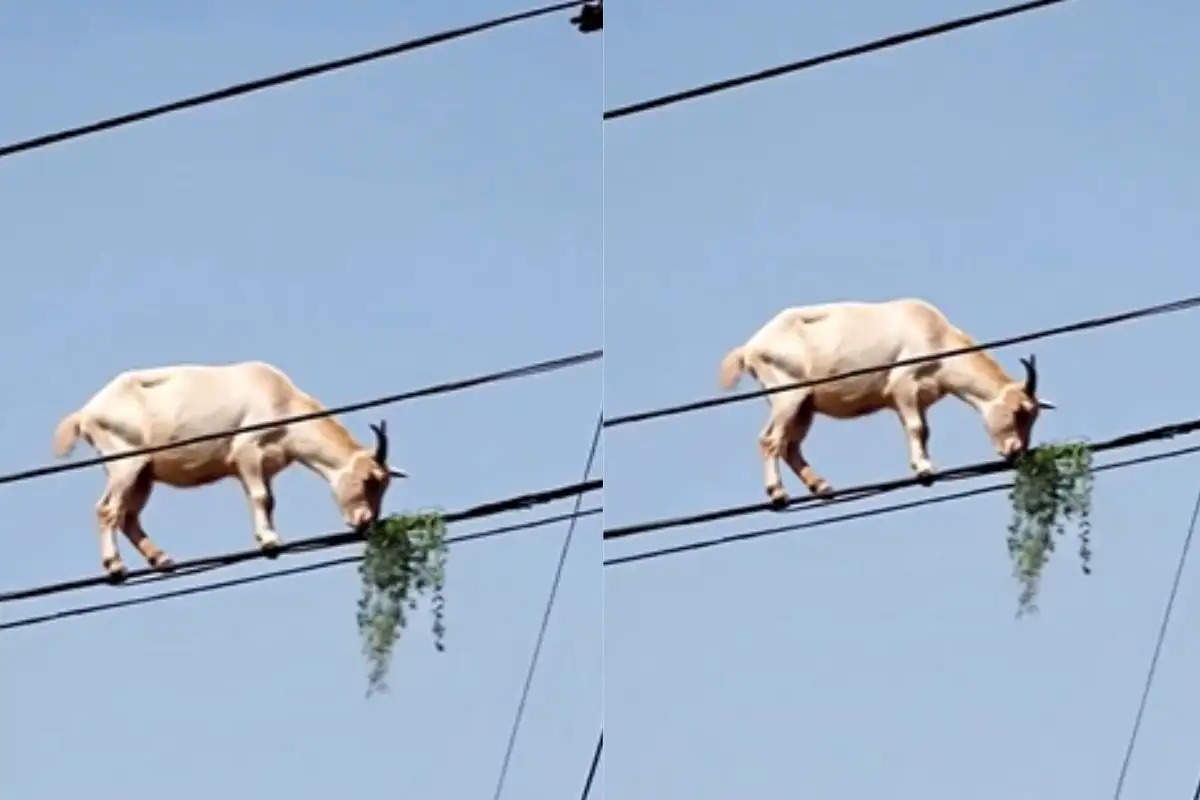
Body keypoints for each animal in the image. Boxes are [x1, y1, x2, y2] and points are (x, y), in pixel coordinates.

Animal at [52, 361, 407, 580]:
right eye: (370, 480)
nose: (365, 521)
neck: (283, 402)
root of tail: (86, 413)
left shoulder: (261, 466)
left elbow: (267, 500)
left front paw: (269, 537)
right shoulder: (247, 450)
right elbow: (261, 497)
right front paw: (269, 541)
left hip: (144, 474)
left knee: (128, 516)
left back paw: (162, 560)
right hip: (125, 460)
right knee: (107, 510)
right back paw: (114, 566)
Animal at [718, 298, 1056, 506]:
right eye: (1019, 411)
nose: (1016, 451)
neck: (938, 337)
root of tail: (750, 348)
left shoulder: (918, 398)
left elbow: (923, 430)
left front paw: (925, 465)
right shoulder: (903, 384)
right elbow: (917, 428)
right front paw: (924, 469)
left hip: (805, 405)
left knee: (790, 445)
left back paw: (822, 487)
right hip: (788, 393)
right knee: (770, 440)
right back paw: (777, 493)